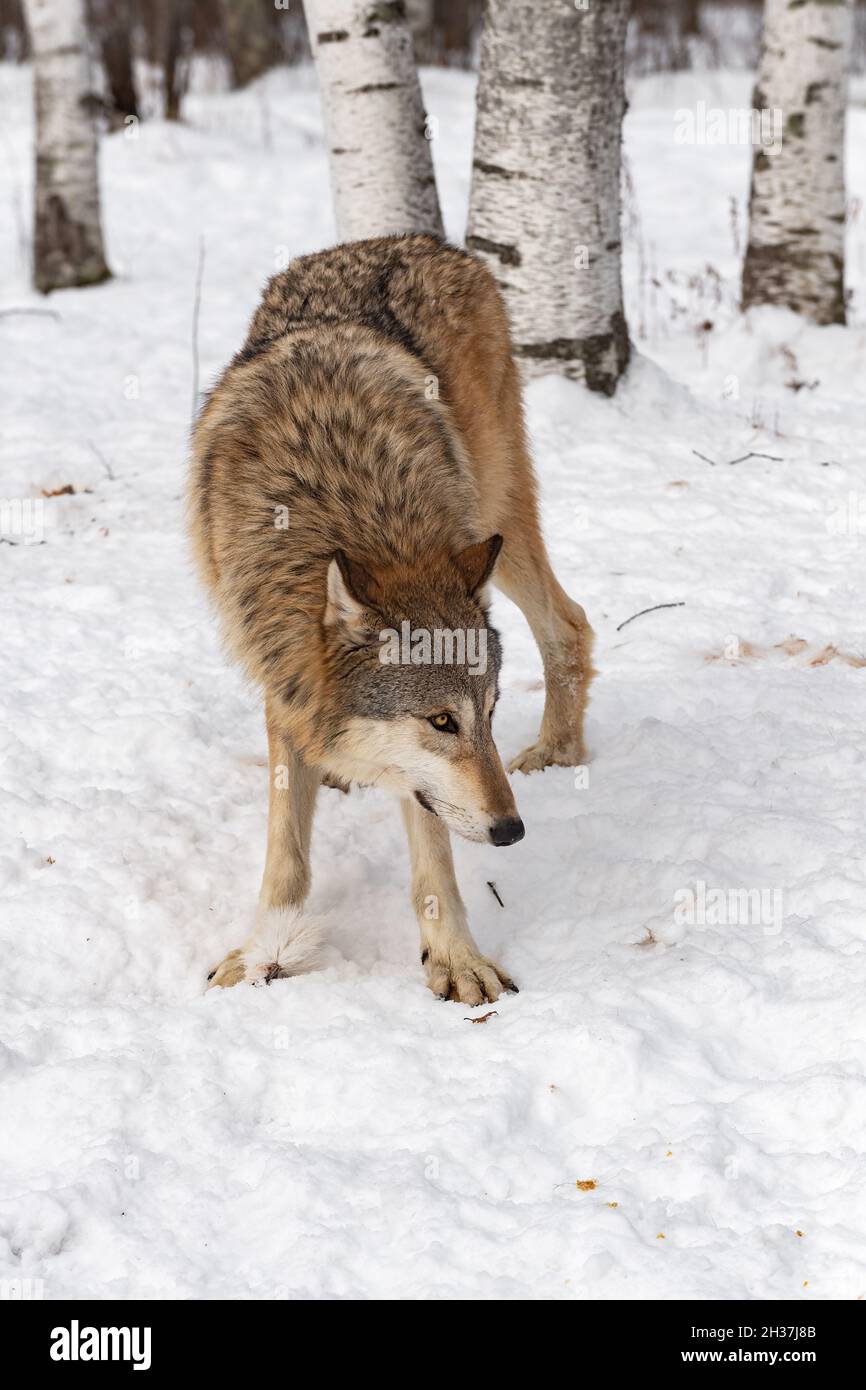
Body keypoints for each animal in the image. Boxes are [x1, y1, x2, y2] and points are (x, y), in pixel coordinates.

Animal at [188, 234, 594, 1004]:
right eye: (442, 722)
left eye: (490, 713)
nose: (512, 830)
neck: (357, 517)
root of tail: (415, 241)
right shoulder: (282, 677)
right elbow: (287, 850)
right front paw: (262, 954)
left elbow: (433, 853)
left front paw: (457, 960)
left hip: (498, 516)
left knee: (570, 623)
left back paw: (559, 751)